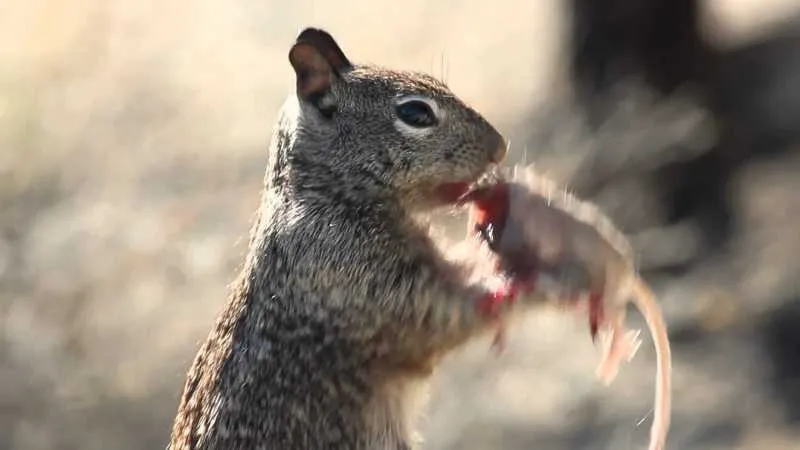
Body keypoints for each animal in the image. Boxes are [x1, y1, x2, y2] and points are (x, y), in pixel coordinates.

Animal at [167, 27, 544, 450]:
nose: (500, 147)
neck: (328, 194)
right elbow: (441, 314)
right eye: (416, 113)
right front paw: (516, 286)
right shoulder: (364, 280)